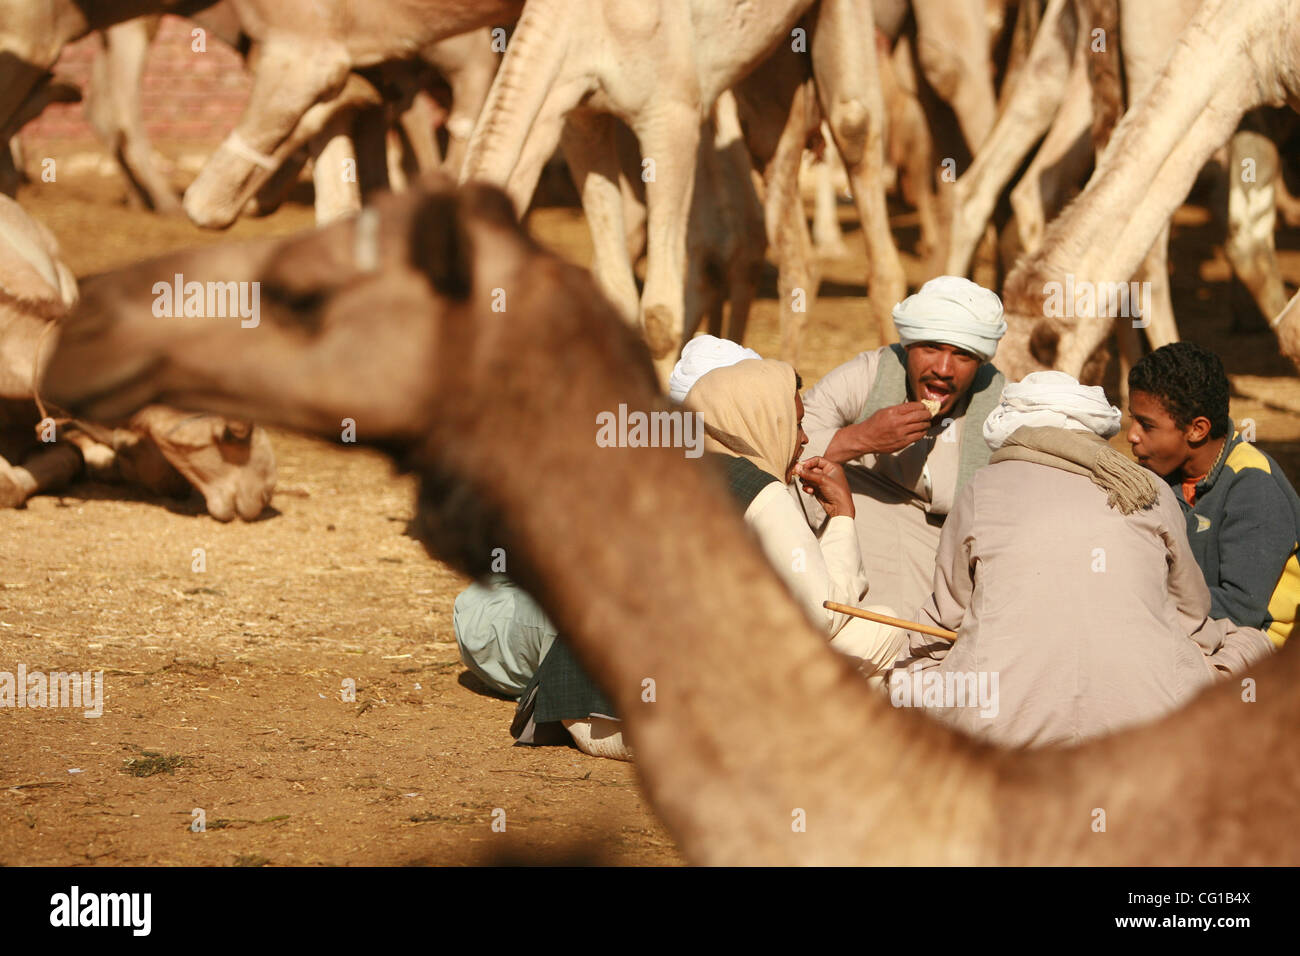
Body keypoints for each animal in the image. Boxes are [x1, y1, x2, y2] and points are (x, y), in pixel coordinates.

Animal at [460, 0, 905, 376]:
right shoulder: (581, 119)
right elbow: (618, 294)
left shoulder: (671, 115)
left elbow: (660, 317)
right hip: (774, 61)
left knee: (854, 130)